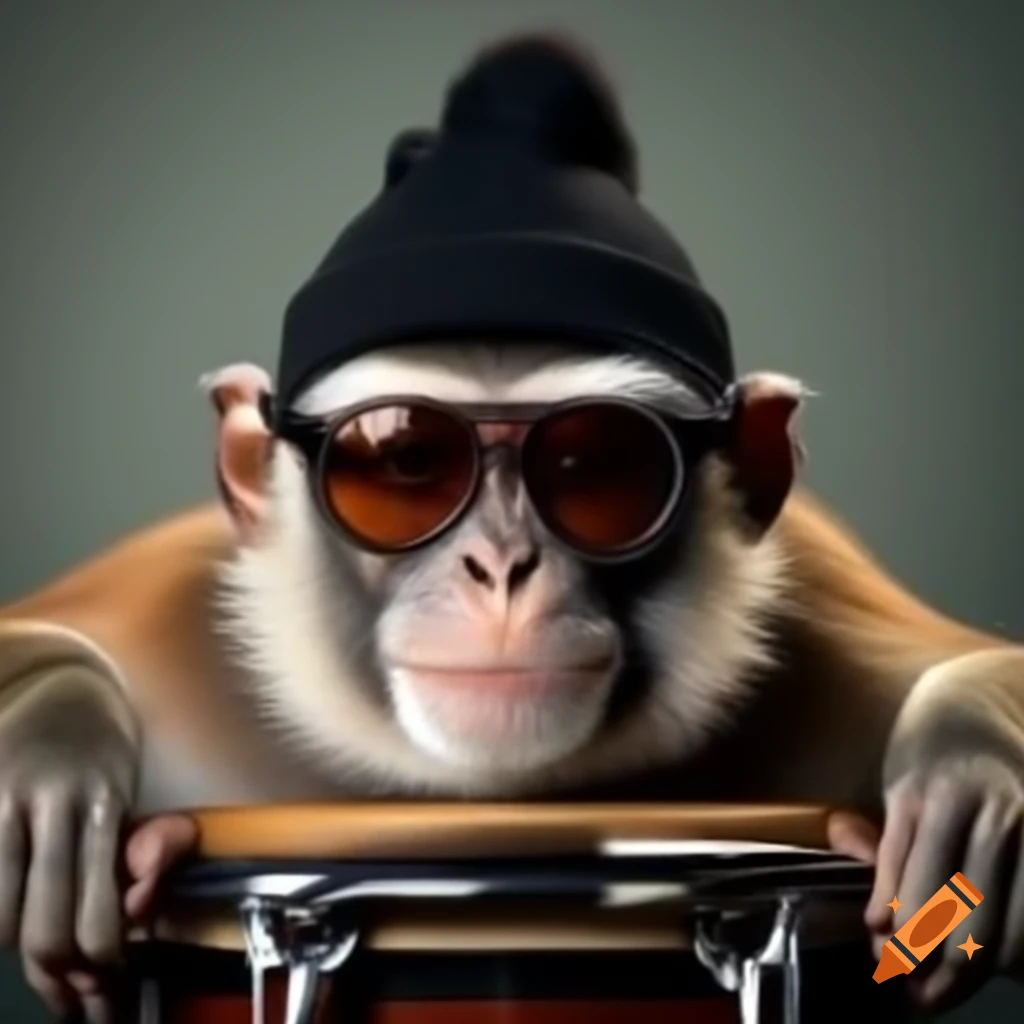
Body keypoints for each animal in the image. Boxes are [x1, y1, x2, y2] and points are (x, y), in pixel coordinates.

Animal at [3, 30, 1024, 1023]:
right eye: (406, 460)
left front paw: (974, 767)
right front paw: (48, 750)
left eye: (597, 464)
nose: (498, 564)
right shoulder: (177, 603)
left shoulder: (818, 599)